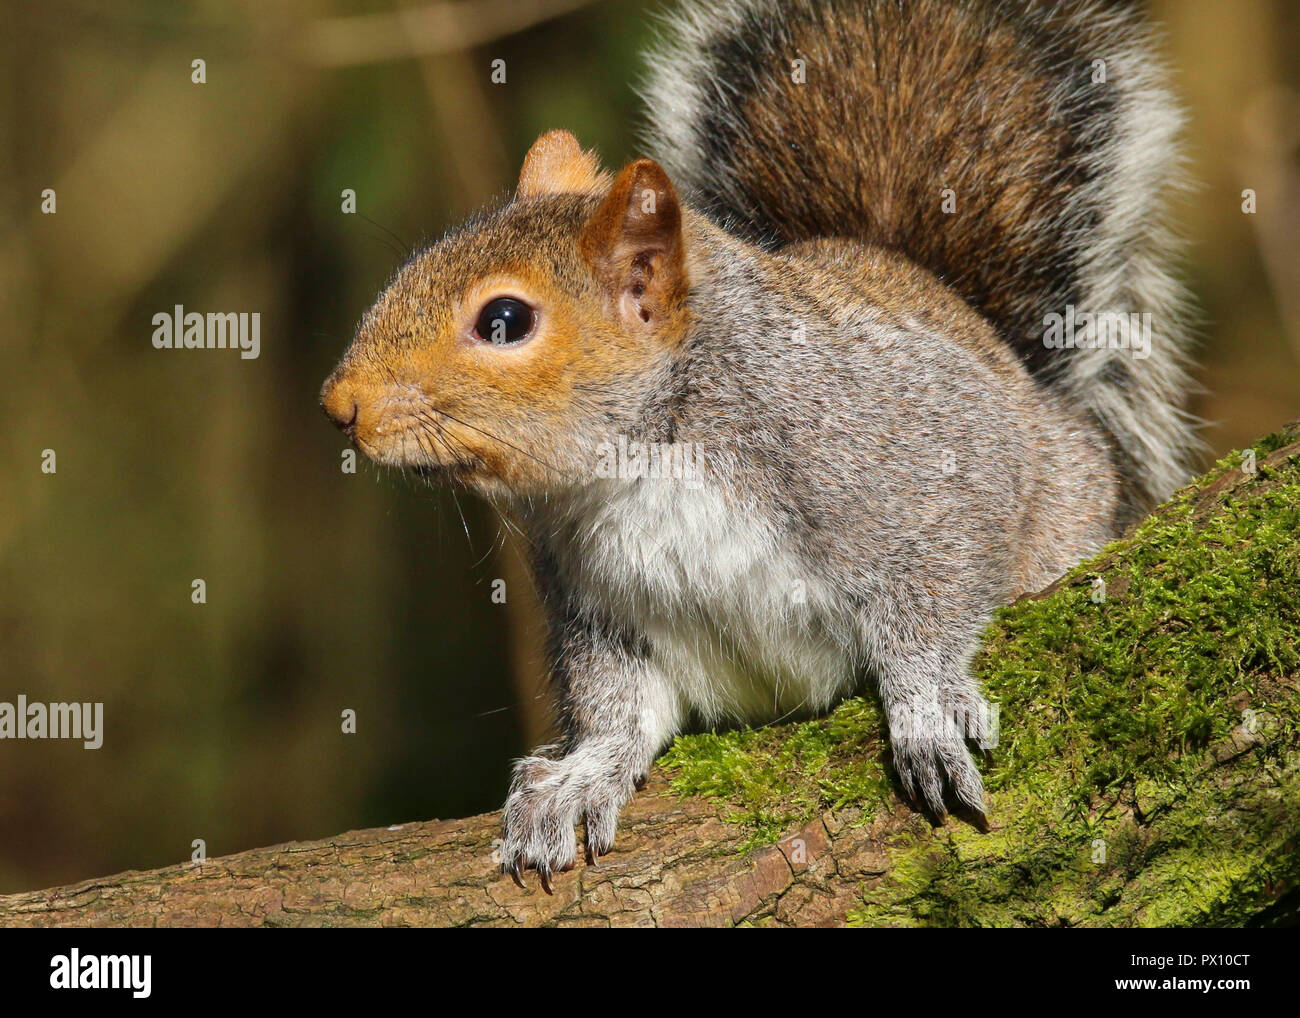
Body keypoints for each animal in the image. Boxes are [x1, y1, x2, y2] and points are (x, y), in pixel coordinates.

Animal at [320, 0, 1197, 890]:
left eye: (504, 321)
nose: (339, 405)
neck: (646, 463)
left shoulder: (921, 463)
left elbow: (938, 589)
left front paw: (926, 706)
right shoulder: (599, 605)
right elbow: (616, 704)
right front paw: (580, 776)